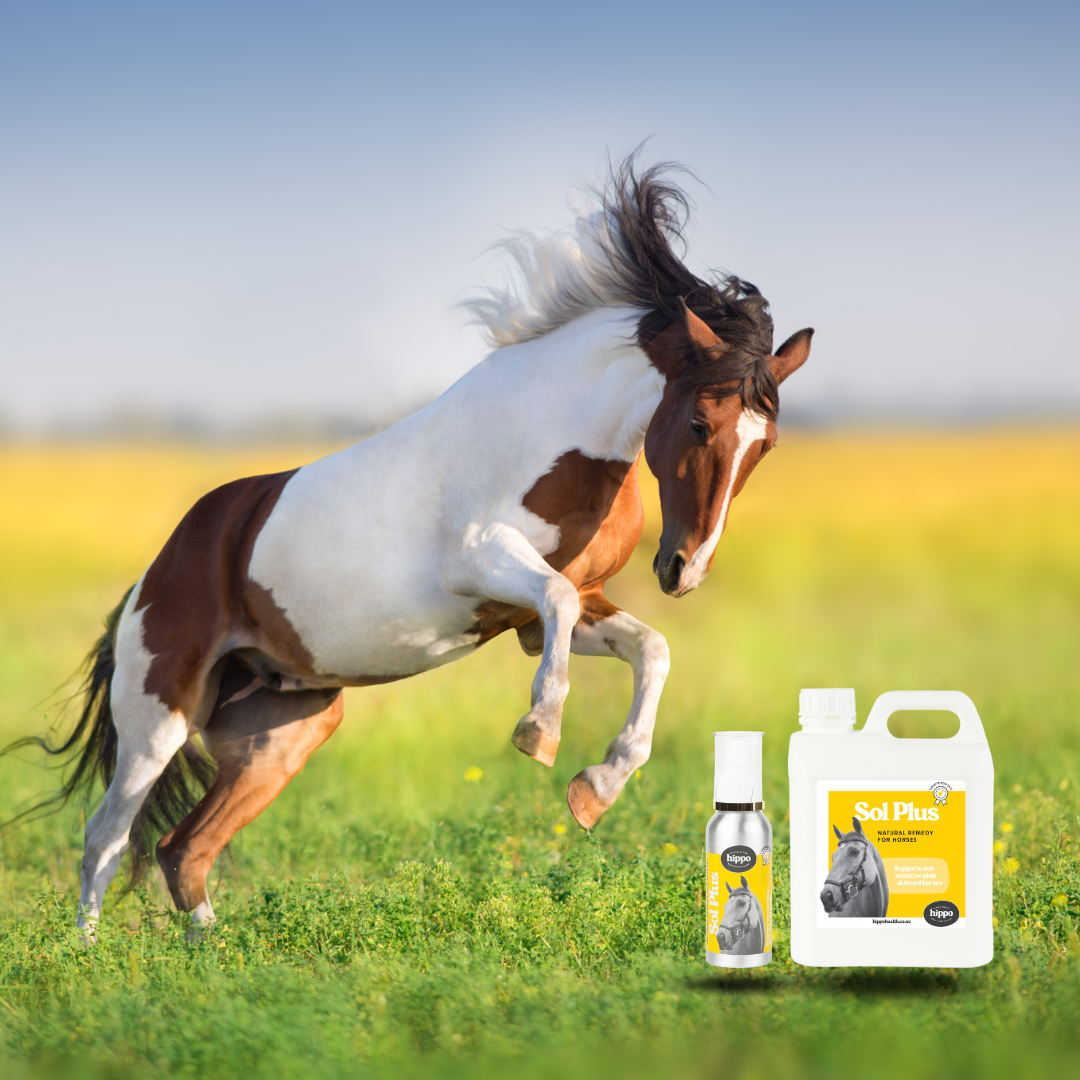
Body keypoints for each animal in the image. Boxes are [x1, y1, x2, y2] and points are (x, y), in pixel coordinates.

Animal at [11, 157, 812, 934]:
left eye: (766, 445)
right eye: (701, 424)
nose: (683, 570)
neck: (556, 430)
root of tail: (159, 570)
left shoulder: (550, 614)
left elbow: (652, 649)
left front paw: (595, 790)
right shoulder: (486, 563)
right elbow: (559, 606)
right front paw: (539, 734)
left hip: (284, 730)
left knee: (185, 850)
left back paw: (215, 955)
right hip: (159, 716)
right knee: (106, 838)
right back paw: (88, 958)